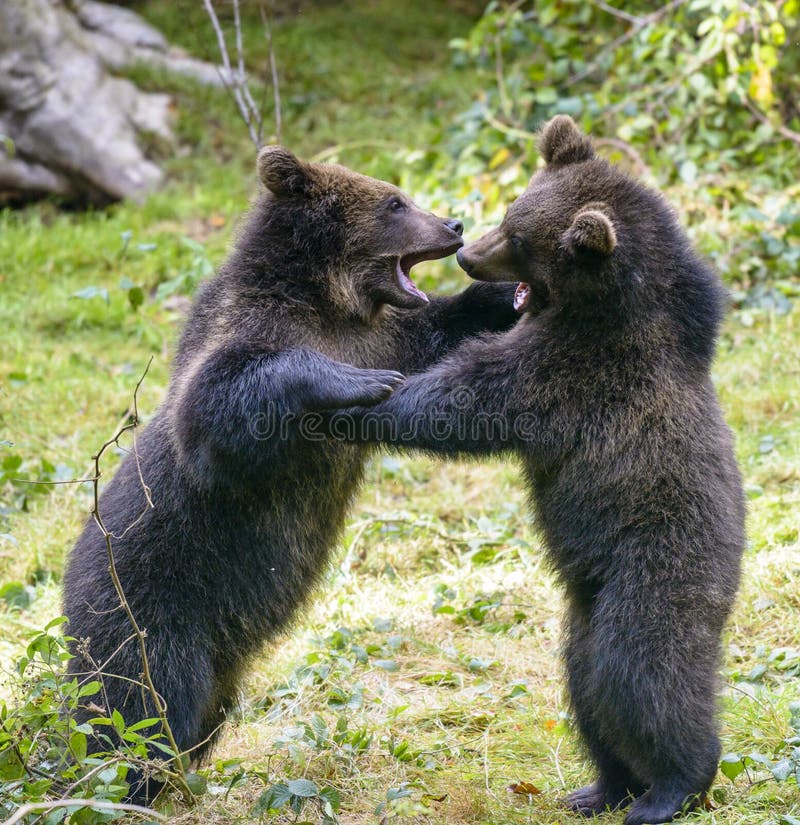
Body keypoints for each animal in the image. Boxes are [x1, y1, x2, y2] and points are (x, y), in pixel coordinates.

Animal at [62, 146, 520, 802]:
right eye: (395, 202)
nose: (453, 224)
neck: (331, 302)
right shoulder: (246, 338)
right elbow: (220, 401)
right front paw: (354, 382)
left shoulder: (389, 336)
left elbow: (443, 341)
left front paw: (507, 295)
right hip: (147, 609)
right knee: (140, 706)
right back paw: (119, 782)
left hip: (217, 655)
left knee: (200, 711)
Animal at [329, 116, 746, 825]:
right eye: (511, 212)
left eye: (521, 237)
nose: (468, 253)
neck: (610, 306)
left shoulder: (569, 372)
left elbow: (462, 401)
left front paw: (354, 401)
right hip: (584, 609)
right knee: (586, 691)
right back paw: (600, 787)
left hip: (659, 569)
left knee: (642, 676)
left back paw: (670, 788)